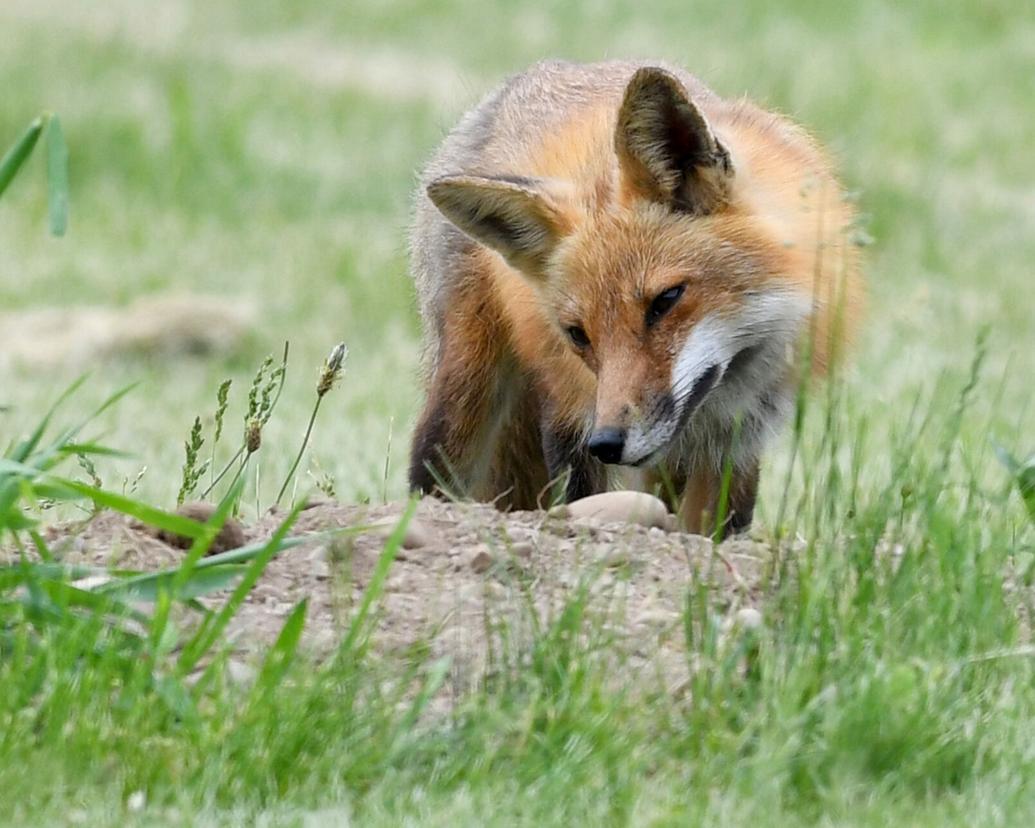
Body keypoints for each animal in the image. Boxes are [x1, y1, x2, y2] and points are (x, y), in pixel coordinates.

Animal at [408, 59, 861, 534]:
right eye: (578, 334)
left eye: (666, 299)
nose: (608, 443)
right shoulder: (573, 416)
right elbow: (581, 495)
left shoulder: (739, 437)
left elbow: (719, 523)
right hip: (464, 392)